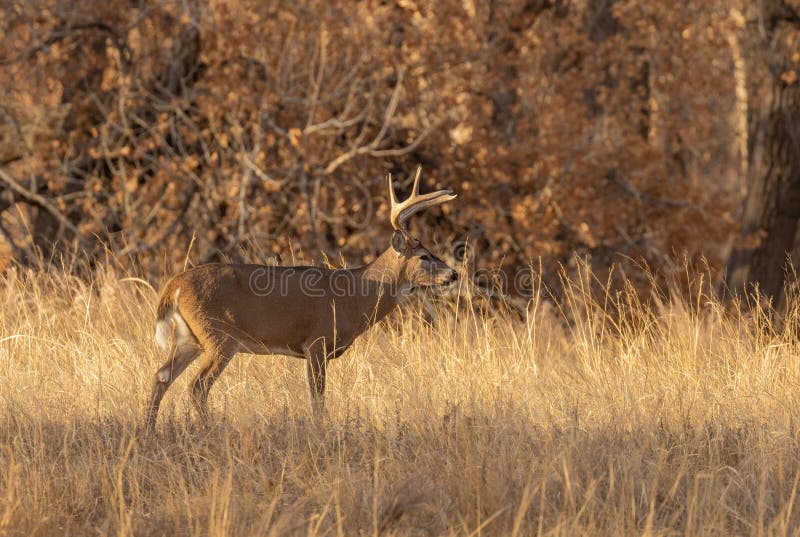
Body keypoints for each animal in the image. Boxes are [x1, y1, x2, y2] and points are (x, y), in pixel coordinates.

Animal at [144, 167, 458, 431]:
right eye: (424, 256)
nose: (453, 274)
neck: (356, 295)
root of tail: (174, 285)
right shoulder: (317, 341)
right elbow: (317, 397)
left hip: (189, 338)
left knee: (161, 376)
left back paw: (148, 430)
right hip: (219, 336)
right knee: (197, 385)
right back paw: (210, 429)